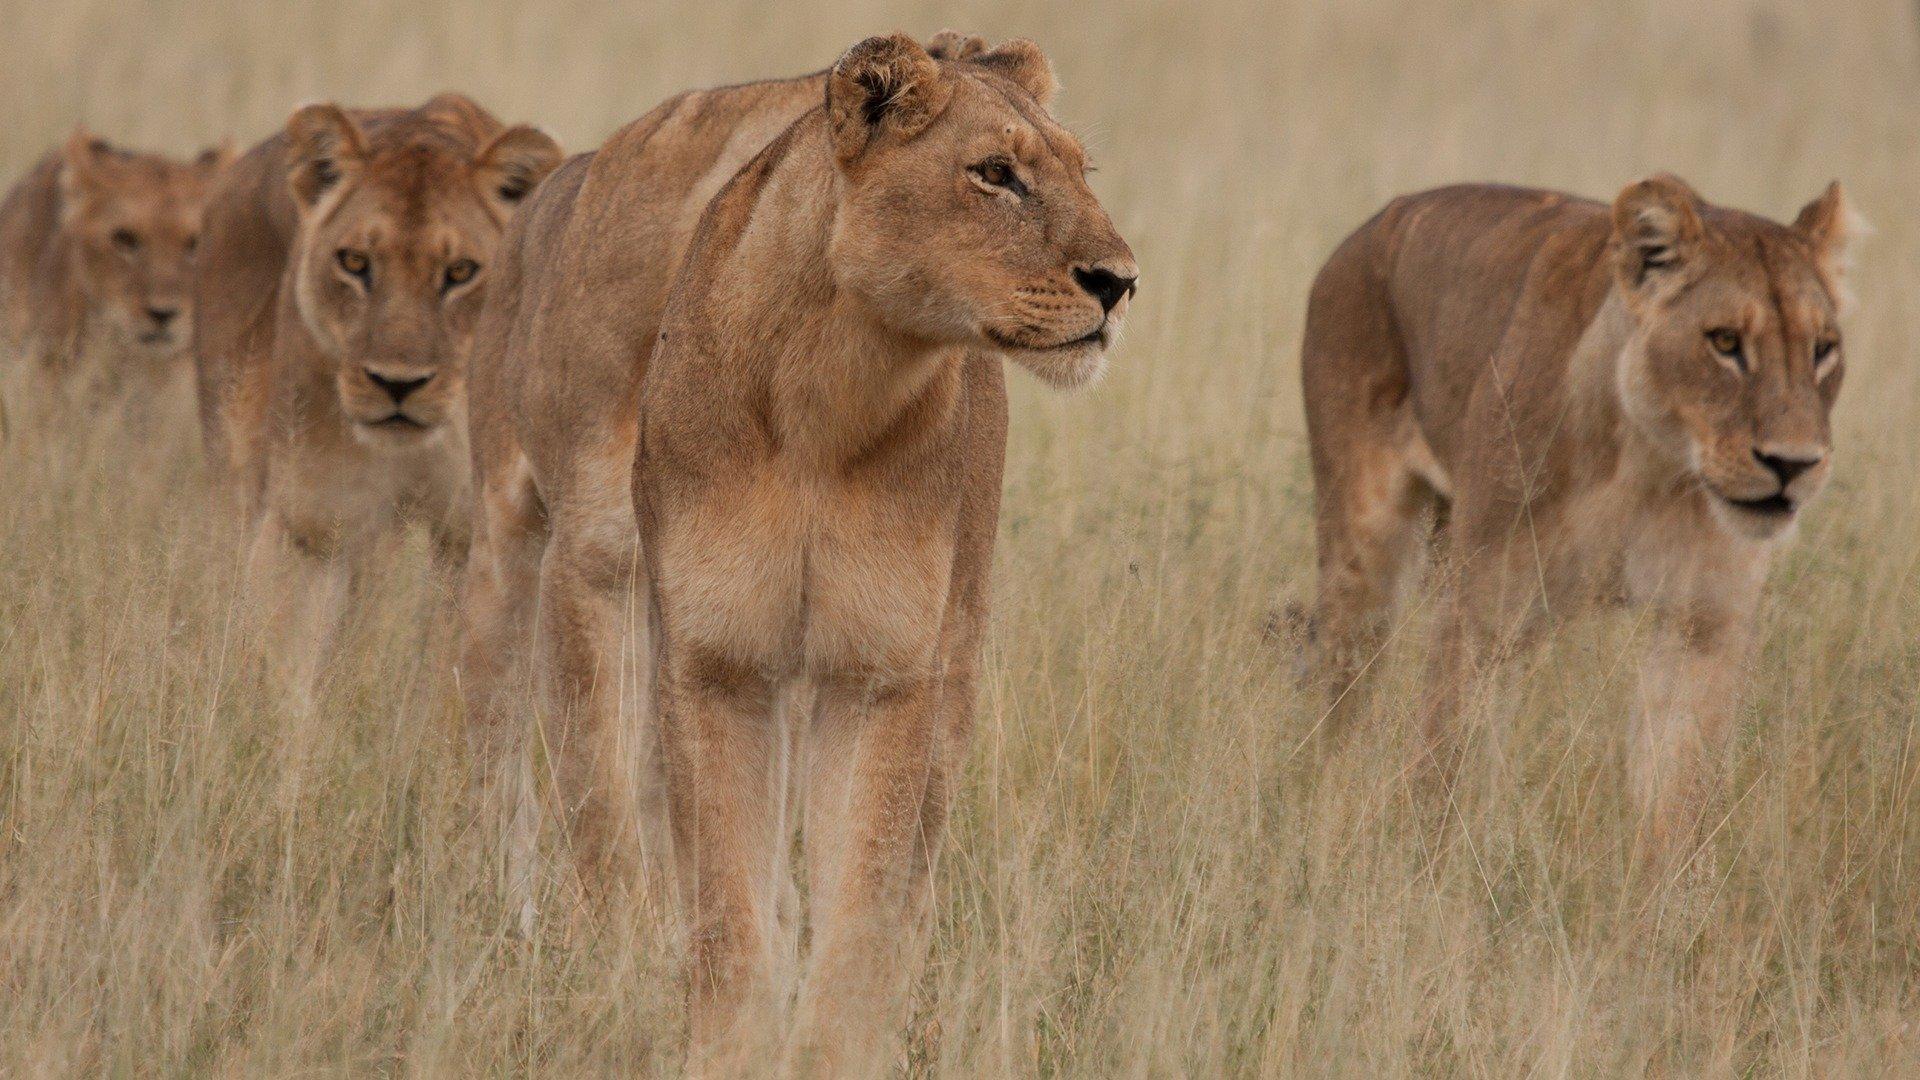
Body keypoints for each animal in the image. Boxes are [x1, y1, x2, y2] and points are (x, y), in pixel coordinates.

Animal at [192, 93, 560, 698]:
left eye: (460, 271)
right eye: (355, 262)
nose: (397, 384)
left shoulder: (470, 532)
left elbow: (448, 665)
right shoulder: (314, 520)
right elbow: (286, 666)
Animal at [462, 30, 1017, 933]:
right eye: (990, 173)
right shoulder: (600, 562)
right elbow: (599, 776)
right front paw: (620, 933)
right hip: (507, 539)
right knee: (499, 722)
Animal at [1301, 176, 1852, 858]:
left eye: (1823, 351)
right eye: (1725, 342)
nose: (1793, 463)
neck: (1651, 463)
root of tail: (1367, 229)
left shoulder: (1704, 622)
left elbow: (1677, 797)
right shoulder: (1485, 612)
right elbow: (1443, 766)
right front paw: (1425, 867)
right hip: (1362, 558)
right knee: (1343, 698)